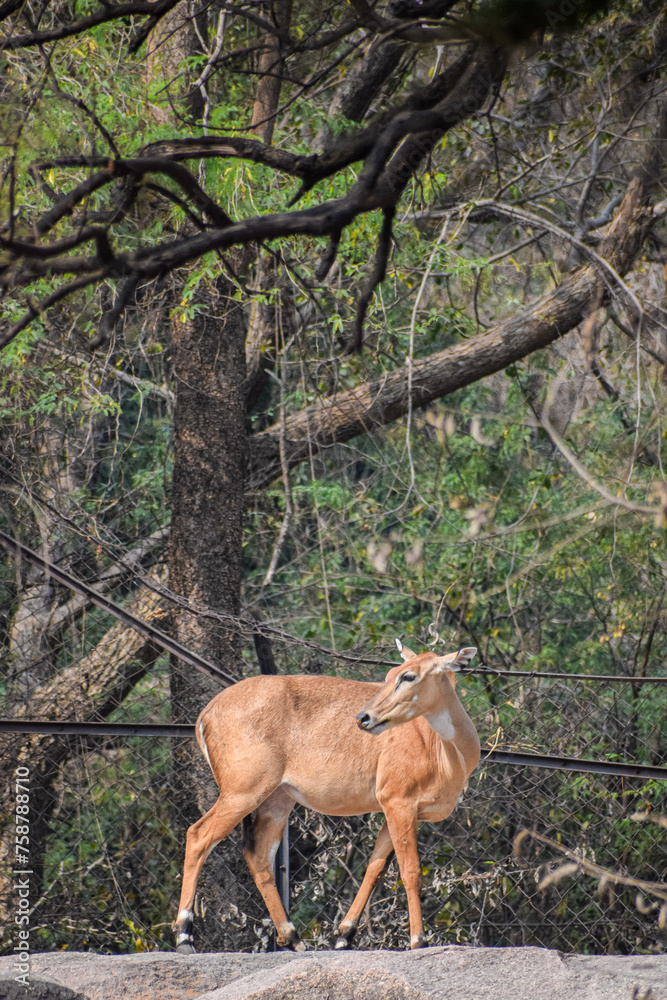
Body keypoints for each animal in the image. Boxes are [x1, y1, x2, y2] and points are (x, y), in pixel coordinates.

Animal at [174, 642, 480, 953]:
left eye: (408, 676)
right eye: (389, 675)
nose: (363, 718)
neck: (447, 752)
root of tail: (205, 714)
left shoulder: (398, 811)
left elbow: (374, 869)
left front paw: (344, 936)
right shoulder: (399, 801)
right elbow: (411, 872)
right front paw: (418, 941)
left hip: (277, 798)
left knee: (258, 854)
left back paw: (294, 939)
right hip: (243, 791)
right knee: (198, 835)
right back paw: (184, 936)